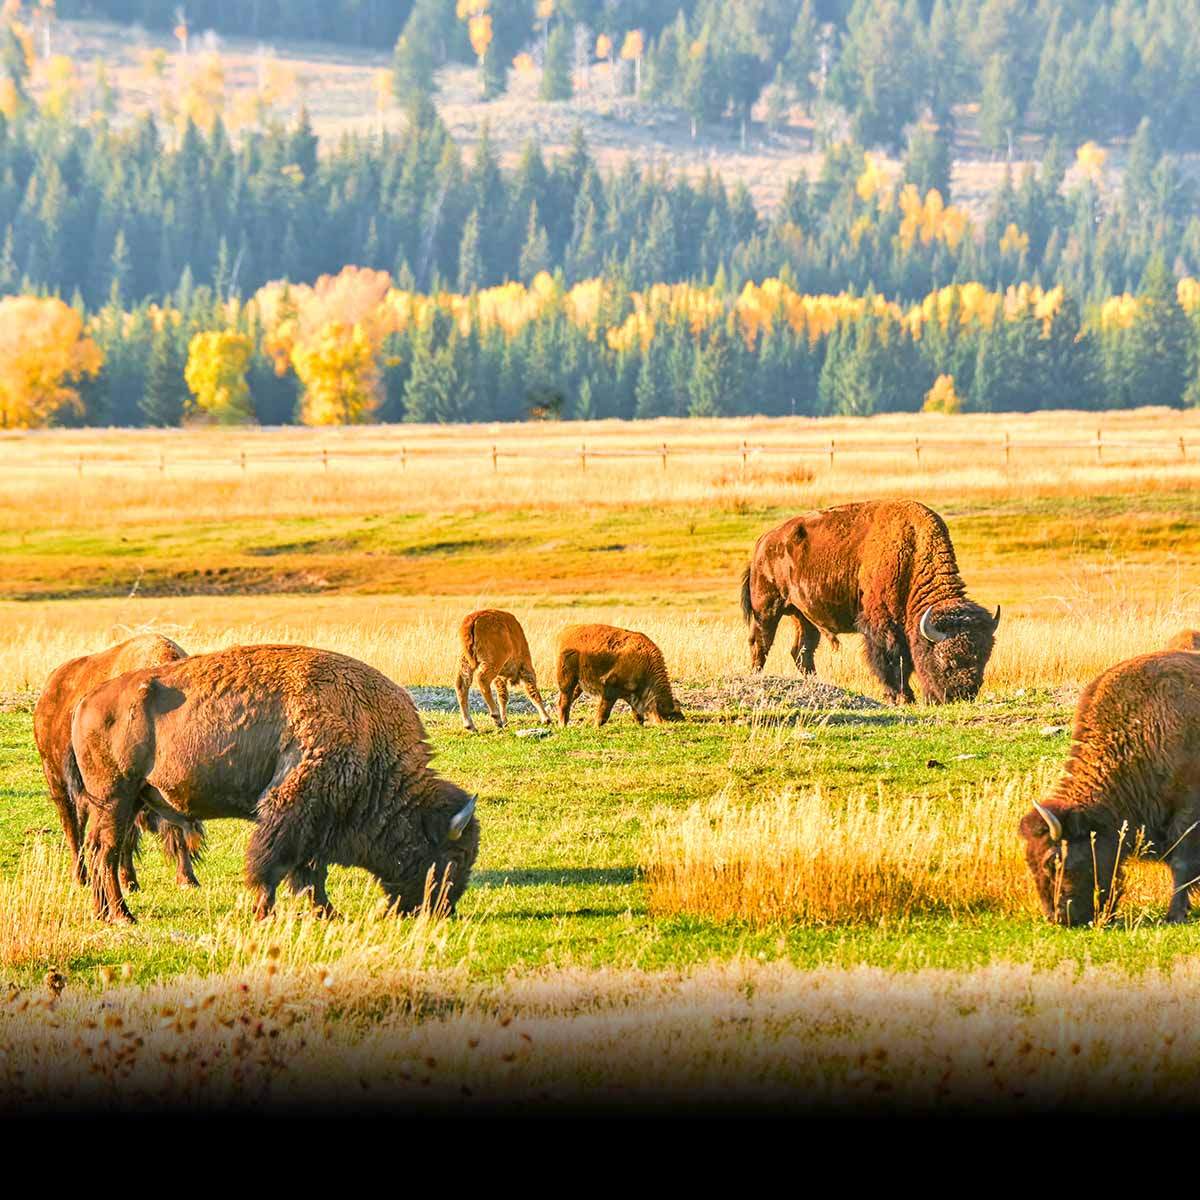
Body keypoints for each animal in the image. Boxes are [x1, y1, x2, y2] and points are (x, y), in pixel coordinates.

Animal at [67, 644, 479, 924]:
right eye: (454, 856)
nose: (443, 910)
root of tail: (86, 701)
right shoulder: (294, 809)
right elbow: (273, 864)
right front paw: (265, 912)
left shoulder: (318, 822)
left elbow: (310, 871)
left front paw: (326, 913)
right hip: (115, 799)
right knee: (106, 853)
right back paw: (122, 915)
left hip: (129, 801)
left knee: (102, 852)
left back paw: (106, 913)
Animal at [740, 500, 999, 704]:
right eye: (948, 661)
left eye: (984, 658)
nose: (962, 695)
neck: (912, 553)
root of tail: (763, 542)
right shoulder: (882, 625)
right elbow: (892, 659)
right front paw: (902, 697)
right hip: (767, 609)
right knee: (760, 643)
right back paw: (756, 676)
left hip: (803, 616)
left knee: (802, 651)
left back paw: (816, 682)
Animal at [1019, 651, 1200, 926]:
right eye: (1029, 861)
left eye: (1054, 861)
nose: (1058, 917)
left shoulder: (1187, 812)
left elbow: (1181, 863)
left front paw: (1174, 916)